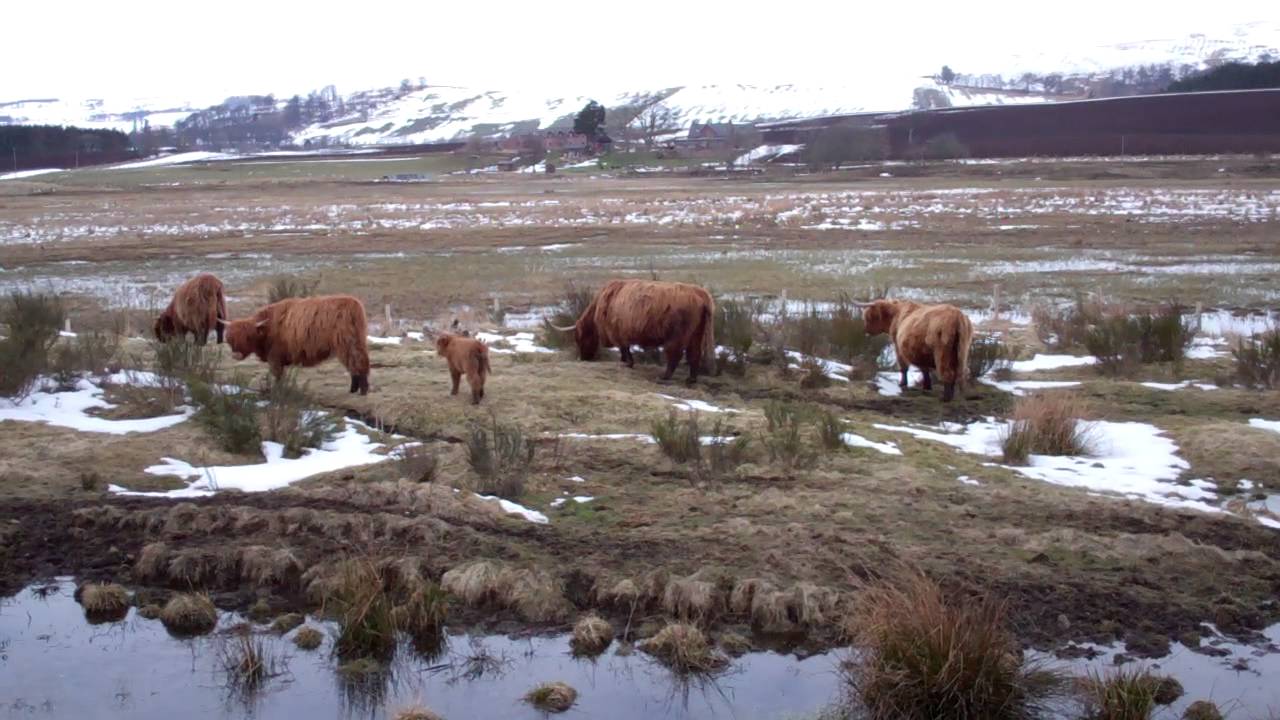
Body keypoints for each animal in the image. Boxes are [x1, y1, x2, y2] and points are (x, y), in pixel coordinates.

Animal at [222, 294, 371, 395]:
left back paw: (361, 391)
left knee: (357, 364)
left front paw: (278, 390)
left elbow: (278, 375)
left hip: (346, 344)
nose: (235, 355)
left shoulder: (274, 357)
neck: (269, 327)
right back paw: (355, 390)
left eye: (248, 337)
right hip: (356, 342)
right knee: (356, 365)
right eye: (230, 338)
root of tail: (353, 303)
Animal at [549, 279, 716, 385]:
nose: (583, 358)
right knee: (695, 354)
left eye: (578, 339)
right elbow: (625, 348)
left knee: (675, 354)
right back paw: (691, 379)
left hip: (678, 334)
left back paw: (664, 377)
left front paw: (627, 362)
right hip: (697, 334)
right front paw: (625, 361)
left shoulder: (618, 332)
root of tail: (701, 294)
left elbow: (625, 348)